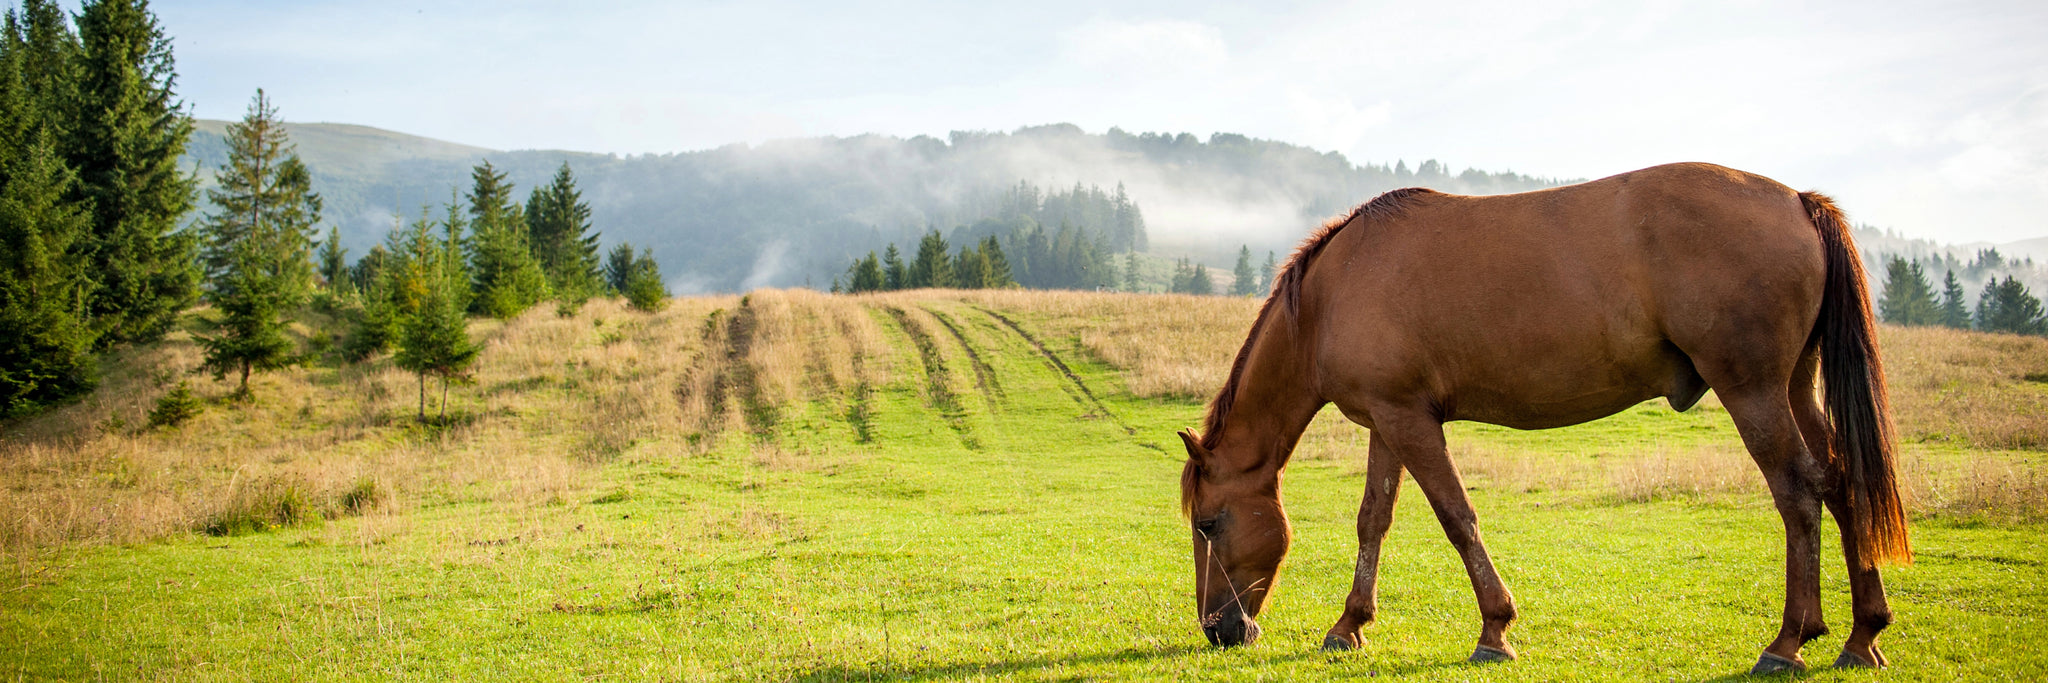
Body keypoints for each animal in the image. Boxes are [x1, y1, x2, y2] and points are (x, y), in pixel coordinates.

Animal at [1177, 162, 1909, 674]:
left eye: (1210, 523)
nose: (1218, 629)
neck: (1332, 295)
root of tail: (1798, 201)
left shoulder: (1412, 422)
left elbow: (1457, 516)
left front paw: (1494, 629)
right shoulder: (1388, 420)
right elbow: (1372, 521)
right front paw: (1350, 624)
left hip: (1753, 390)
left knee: (1799, 491)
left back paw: (1788, 641)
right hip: (1795, 388)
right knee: (1841, 482)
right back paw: (1861, 634)